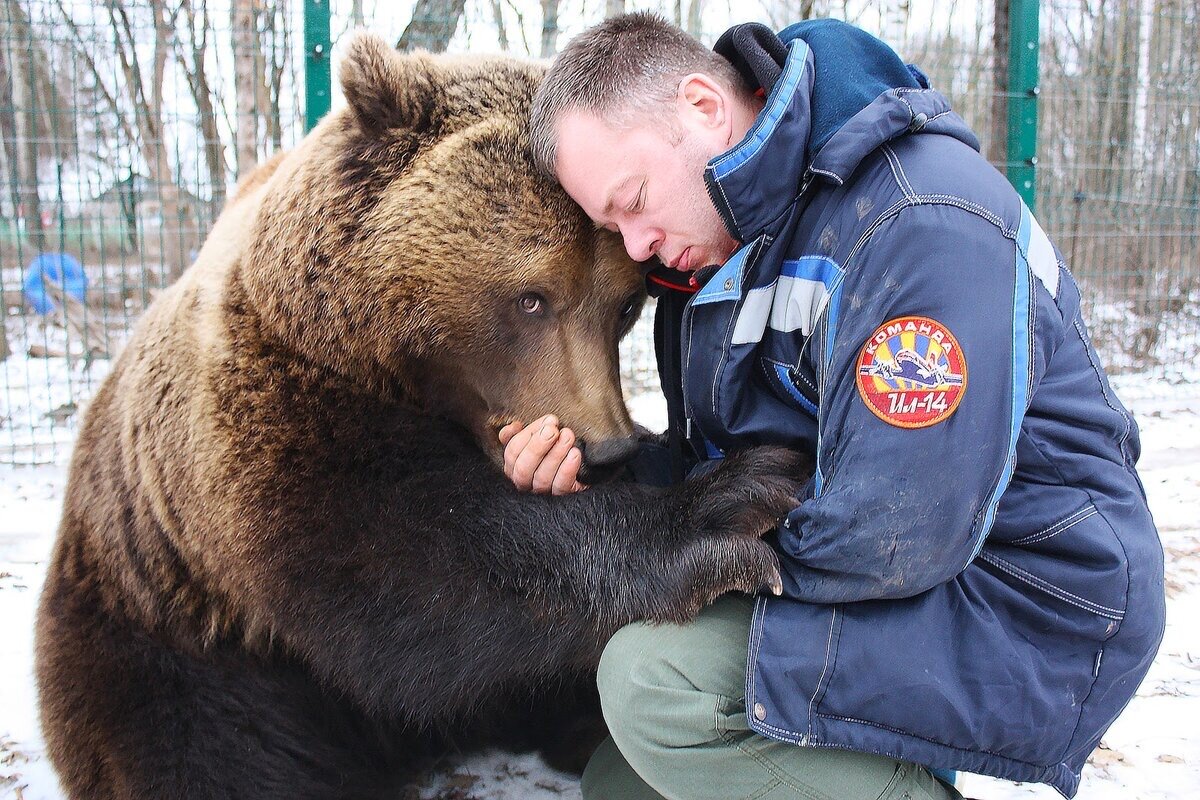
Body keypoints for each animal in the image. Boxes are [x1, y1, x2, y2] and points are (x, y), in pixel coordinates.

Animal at [35, 34, 806, 796]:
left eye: (623, 305)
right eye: (531, 297)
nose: (604, 449)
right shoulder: (271, 419)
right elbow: (403, 557)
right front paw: (730, 502)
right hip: (165, 633)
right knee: (209, 749)